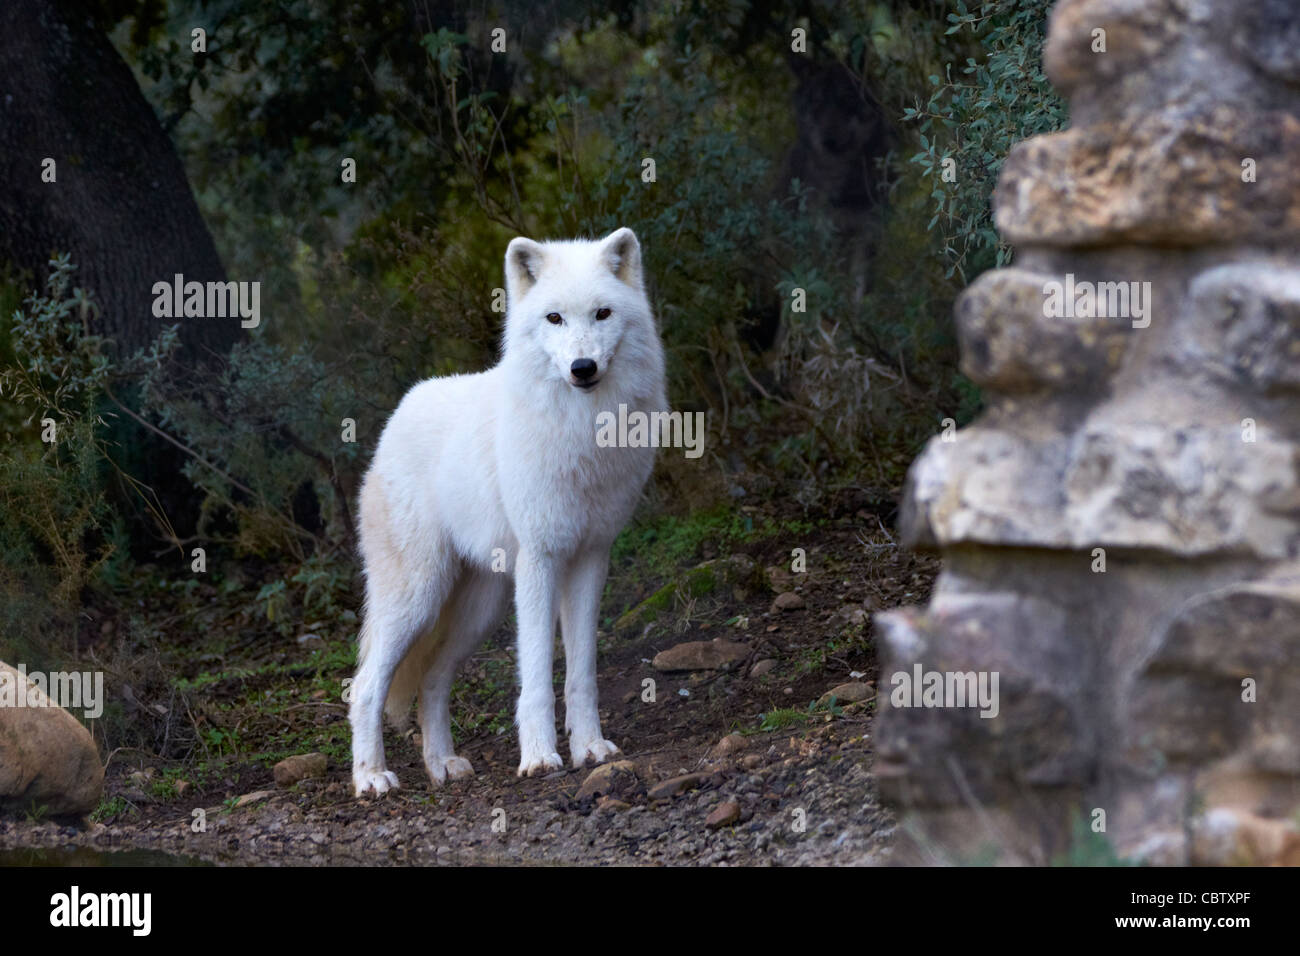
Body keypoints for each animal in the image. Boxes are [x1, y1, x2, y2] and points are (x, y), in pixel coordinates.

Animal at [348, 227, 667, 795]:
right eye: (554, 318)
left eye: (602, 314)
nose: (582, 368)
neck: (583, 432)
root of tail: (398, 413)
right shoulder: (540, 560)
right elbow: (537, 675)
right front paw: (540, 757)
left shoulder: (590, 558)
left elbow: (581, 674)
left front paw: (589, 748)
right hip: (418, 598)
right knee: (364, 686)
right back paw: (371, 778)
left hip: (480, 608)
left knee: (431, 680)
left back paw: (442, 766)